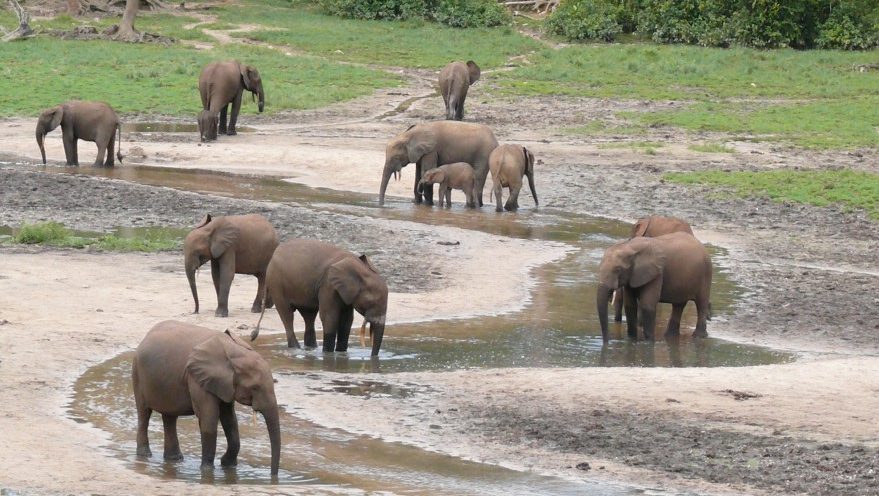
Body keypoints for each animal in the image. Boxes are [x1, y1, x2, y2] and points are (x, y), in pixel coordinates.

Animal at [133, 320, 280, 475]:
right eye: (255, 388)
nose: (273, 476)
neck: (235, 353)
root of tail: (145, 337)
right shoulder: (196, 379)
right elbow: (209, 418)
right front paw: (208, 471)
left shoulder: (224, 385)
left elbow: (230, 420)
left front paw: (228, 465)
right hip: (137, 373)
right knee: (144, 413)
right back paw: (145, 456)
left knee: (169, 417)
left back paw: (174, 460)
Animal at [251, 238, 388, 357]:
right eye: (371, 302)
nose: (371, 356)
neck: (360, 269)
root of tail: (273, 256)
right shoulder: (328, 285)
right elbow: (330, 317)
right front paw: (328, 354)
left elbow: (347, 320)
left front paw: (341, 353)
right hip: (276, 284)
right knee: (287, 315)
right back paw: (296, 349)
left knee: (309, 316)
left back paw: (311, 348)